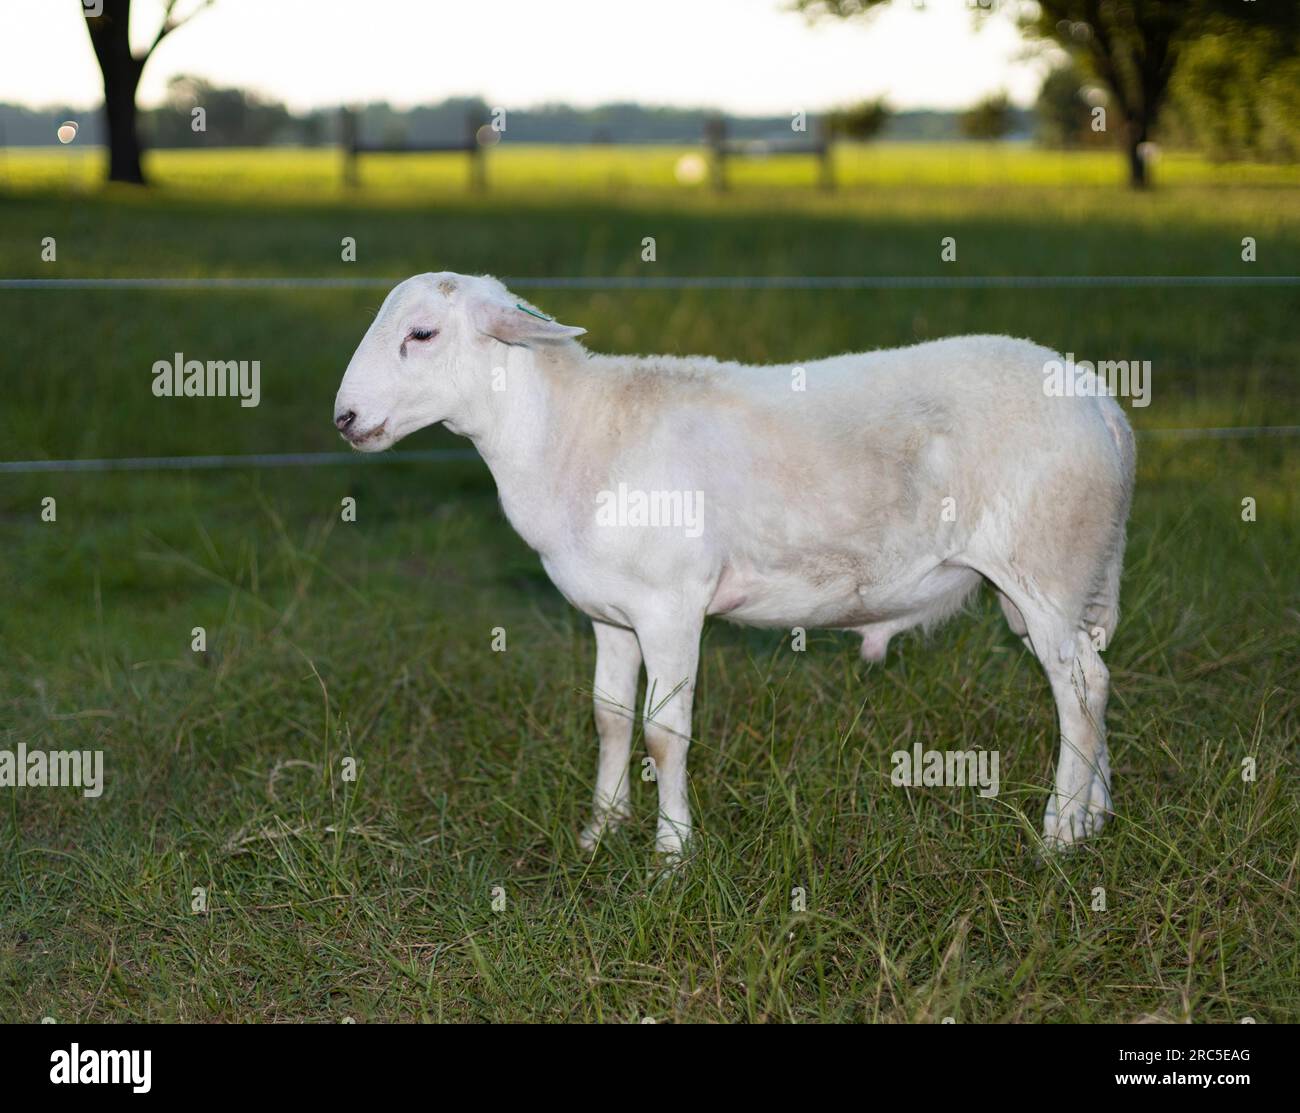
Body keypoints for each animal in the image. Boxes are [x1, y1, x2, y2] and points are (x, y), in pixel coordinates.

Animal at [333, 272, 1136, 860]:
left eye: (422, 334)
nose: (343, 419)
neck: (571, 432)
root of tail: (1104, 406)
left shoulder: (670, 606)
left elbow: (663, 731)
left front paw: (671, 853)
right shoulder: (611, 615)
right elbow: (610, 719)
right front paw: (600, 831)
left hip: (1045, 565)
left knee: (1079, 689)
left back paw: (1060, 835)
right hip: (1062, 580)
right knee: (1093, 680)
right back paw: (1096, 818)